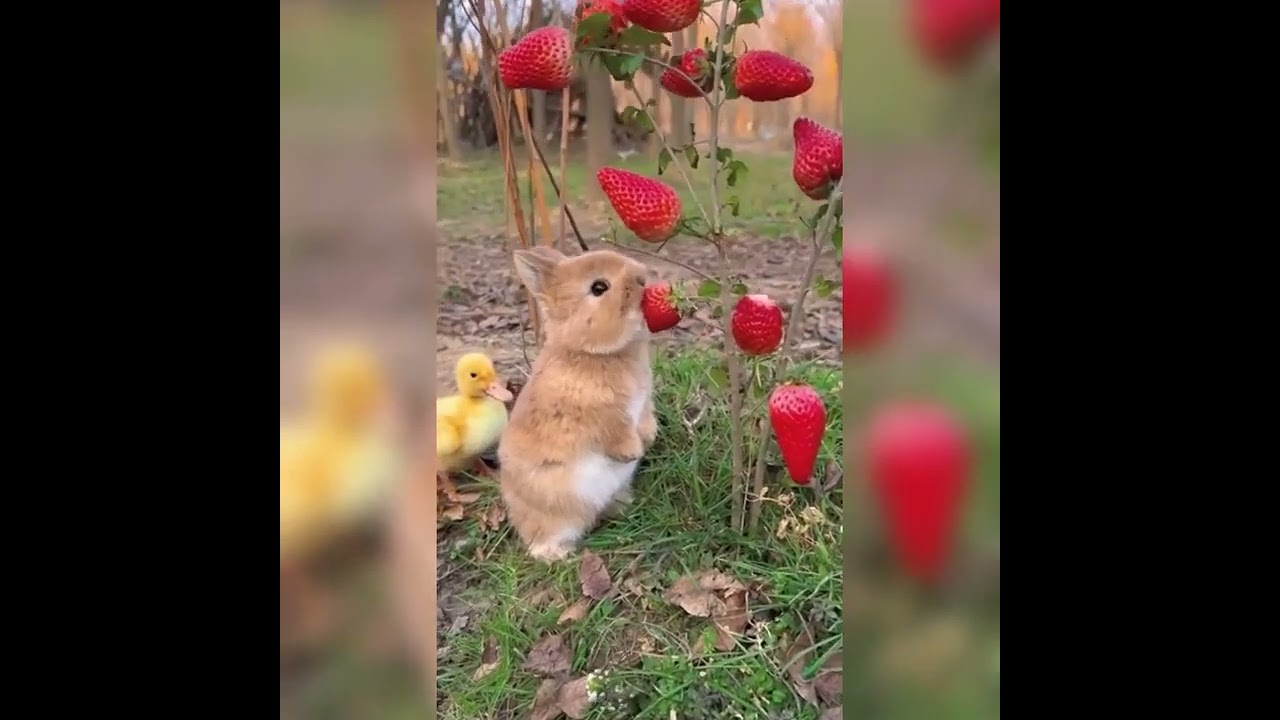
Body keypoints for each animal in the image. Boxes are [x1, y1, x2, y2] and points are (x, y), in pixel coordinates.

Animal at [498, 247, 658, 562]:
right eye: (599, 288)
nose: (643, 278)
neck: (591, 352)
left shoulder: (643, 402)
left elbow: (645, 420)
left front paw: (649, 438)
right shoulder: (606, 417)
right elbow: (617, 434)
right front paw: (633, 452)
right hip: (554, 512)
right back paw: (556, 555)